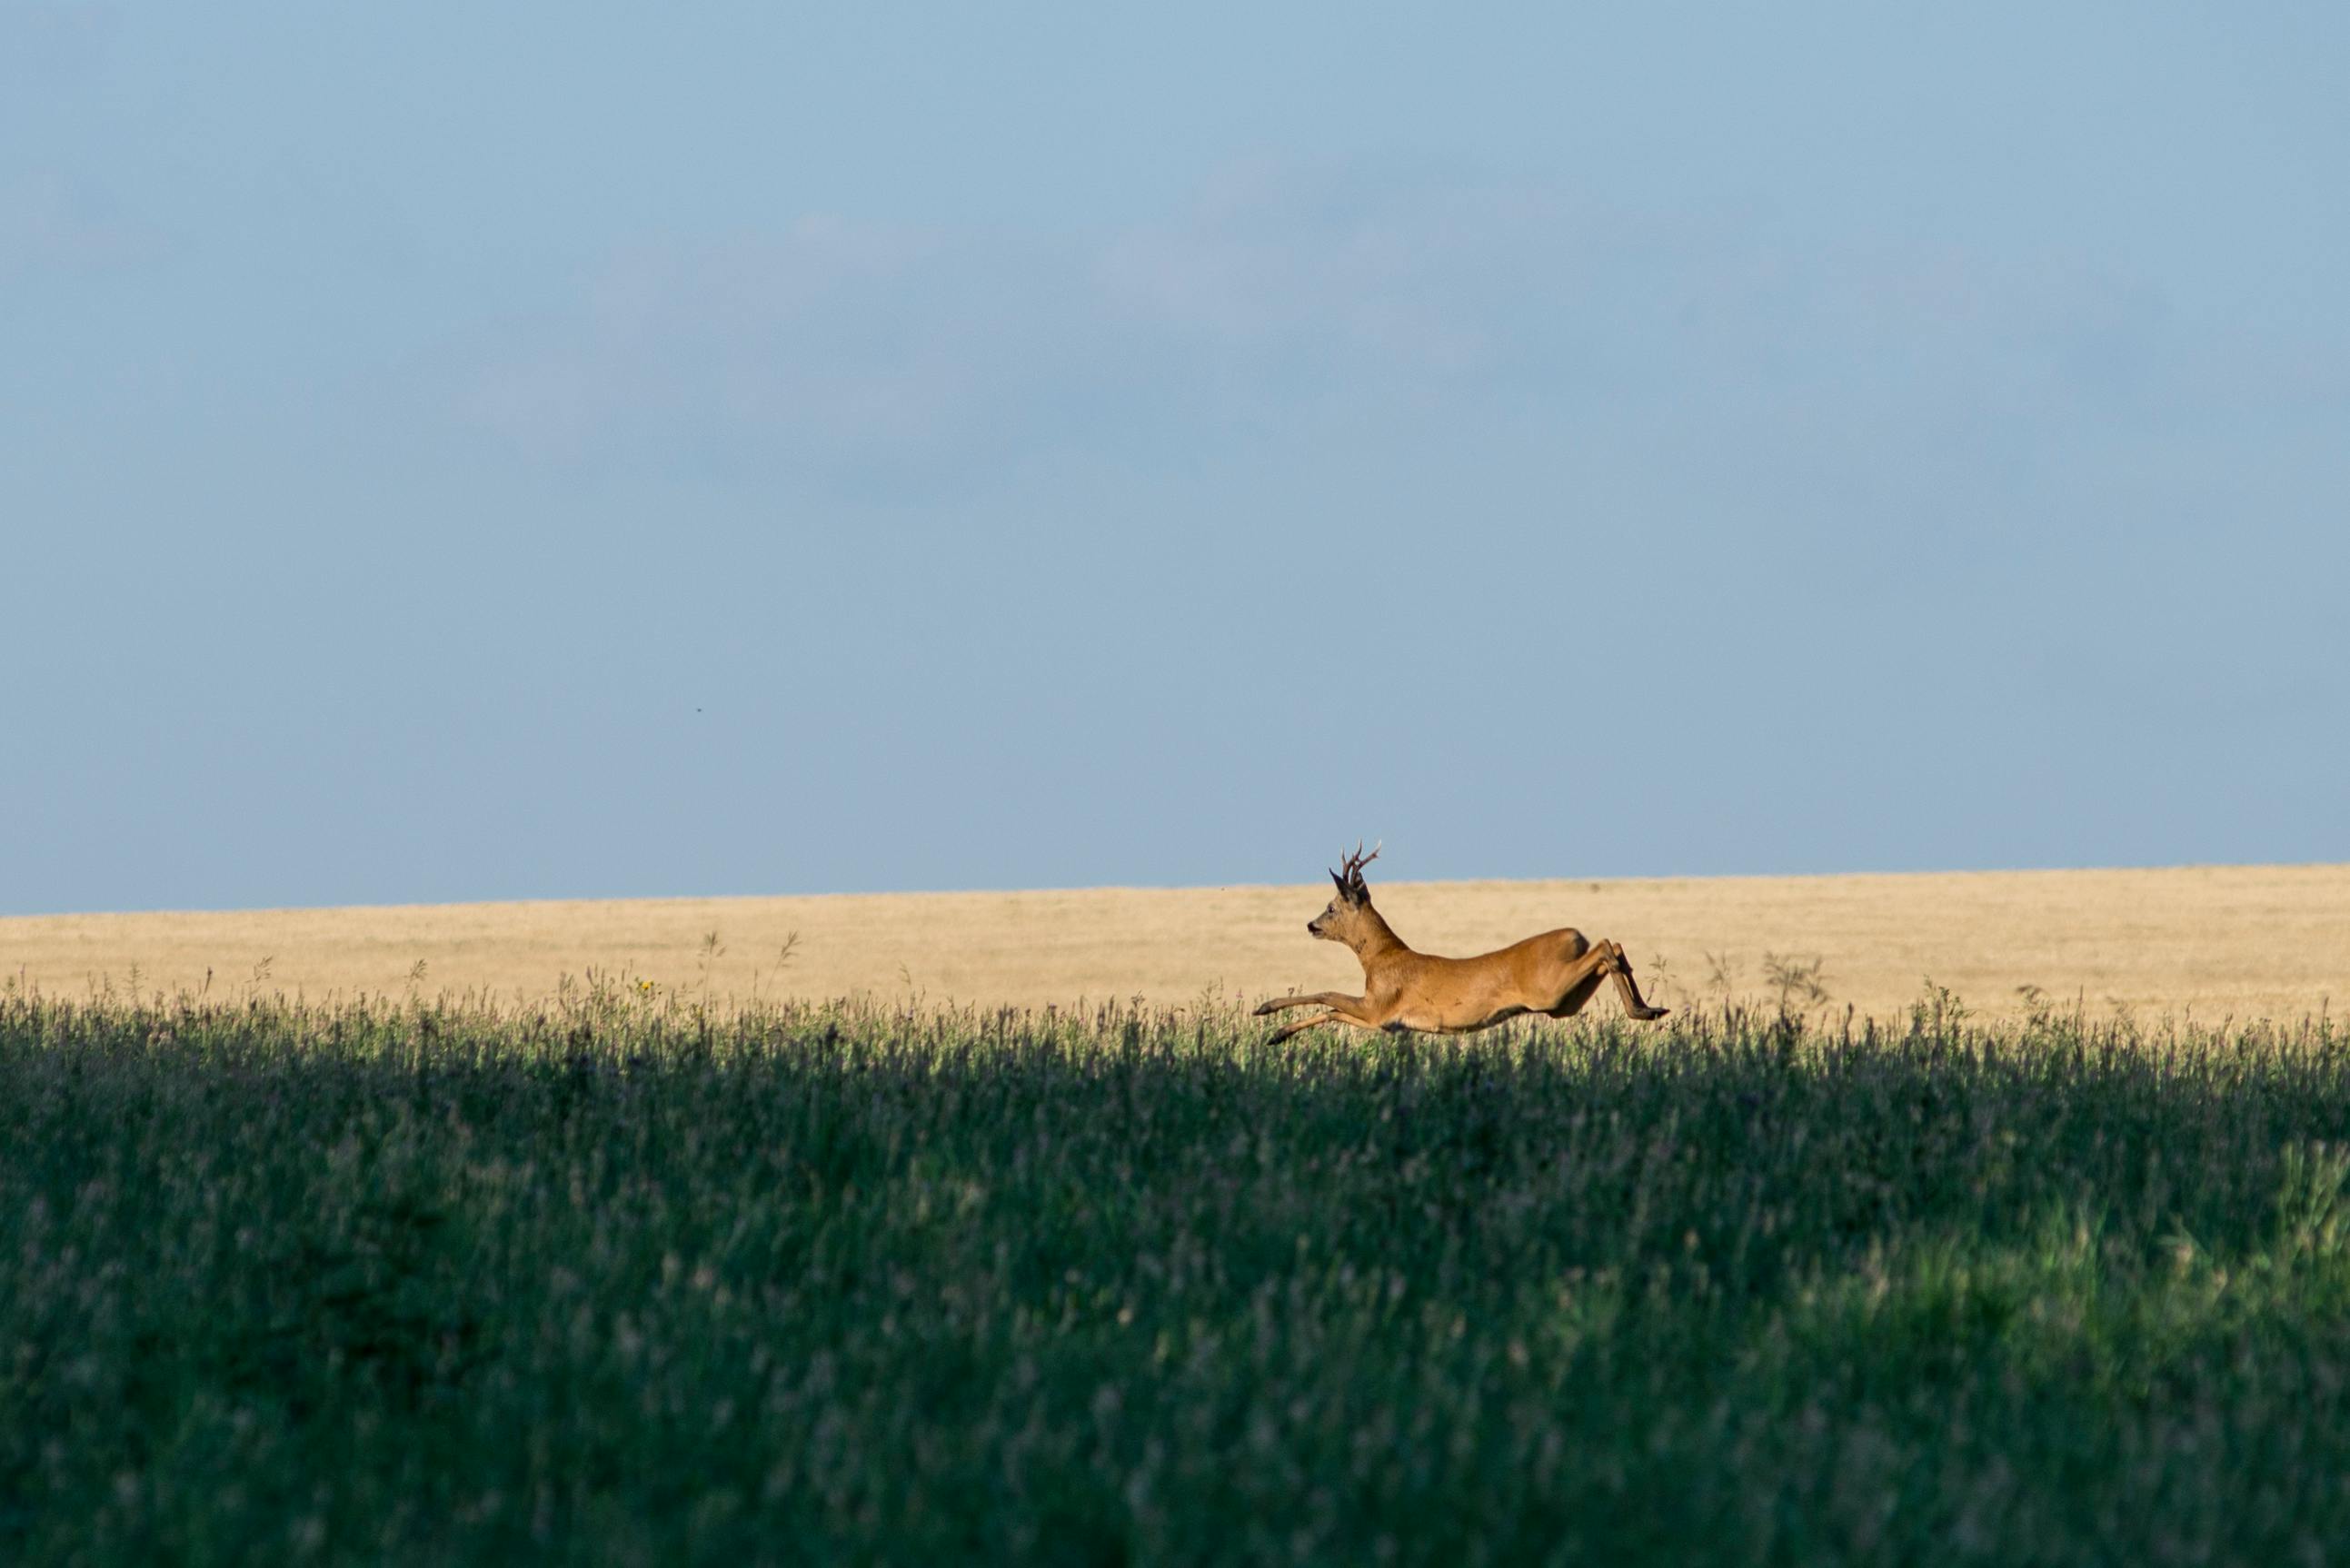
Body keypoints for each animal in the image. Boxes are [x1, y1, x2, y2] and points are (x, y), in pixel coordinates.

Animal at [1255, 844, 1669, 1045]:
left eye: (1331, 906)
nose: (1311, 925)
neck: (1380, 958)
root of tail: (1574, 936)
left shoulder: (1379, 1005)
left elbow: (1326, 995)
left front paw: (1265, 1010)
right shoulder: (1383, 1021)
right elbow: (1332, 1011)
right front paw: (1277, 1035)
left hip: (1549, 990)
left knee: (1606, 944)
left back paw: (1644, 1009)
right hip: (1563, 1002)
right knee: (1612, 948)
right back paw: (1649, 1009)